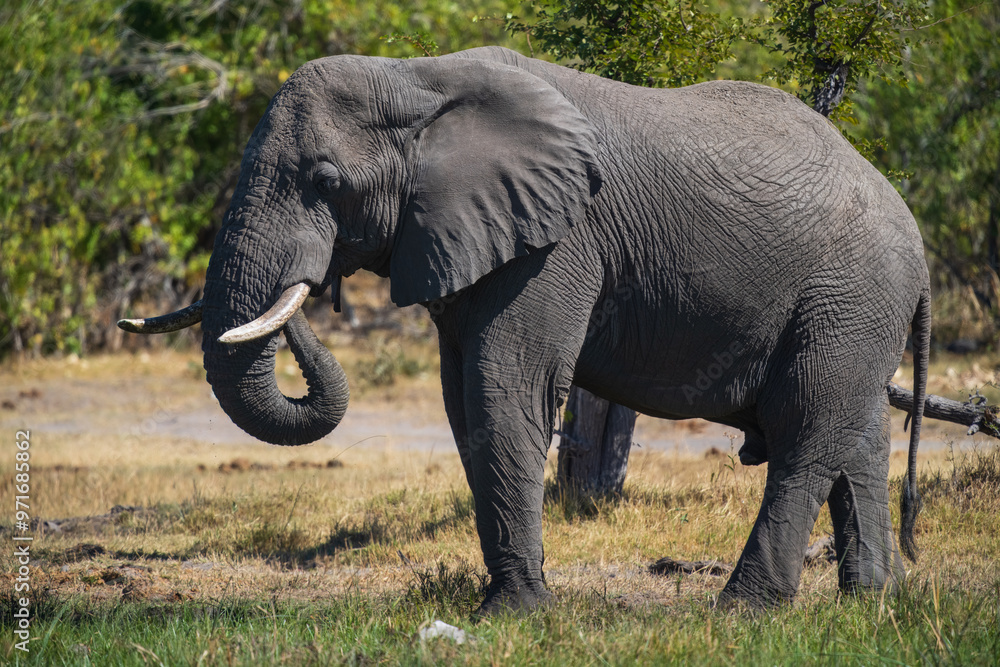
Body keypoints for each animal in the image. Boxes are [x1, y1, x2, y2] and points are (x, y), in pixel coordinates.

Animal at [120, 46, 931, 614]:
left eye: (325, 181)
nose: (316, 290)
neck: (417, 79)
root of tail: (915, 239)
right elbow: (462, 401)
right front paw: (511, 603)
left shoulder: (559, 240)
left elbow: (506, 387)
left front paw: (514, 614)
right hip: (855, 309)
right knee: (854, 435)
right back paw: (867, 604)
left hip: (848, 295)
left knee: (804, 429)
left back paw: (743, 611)